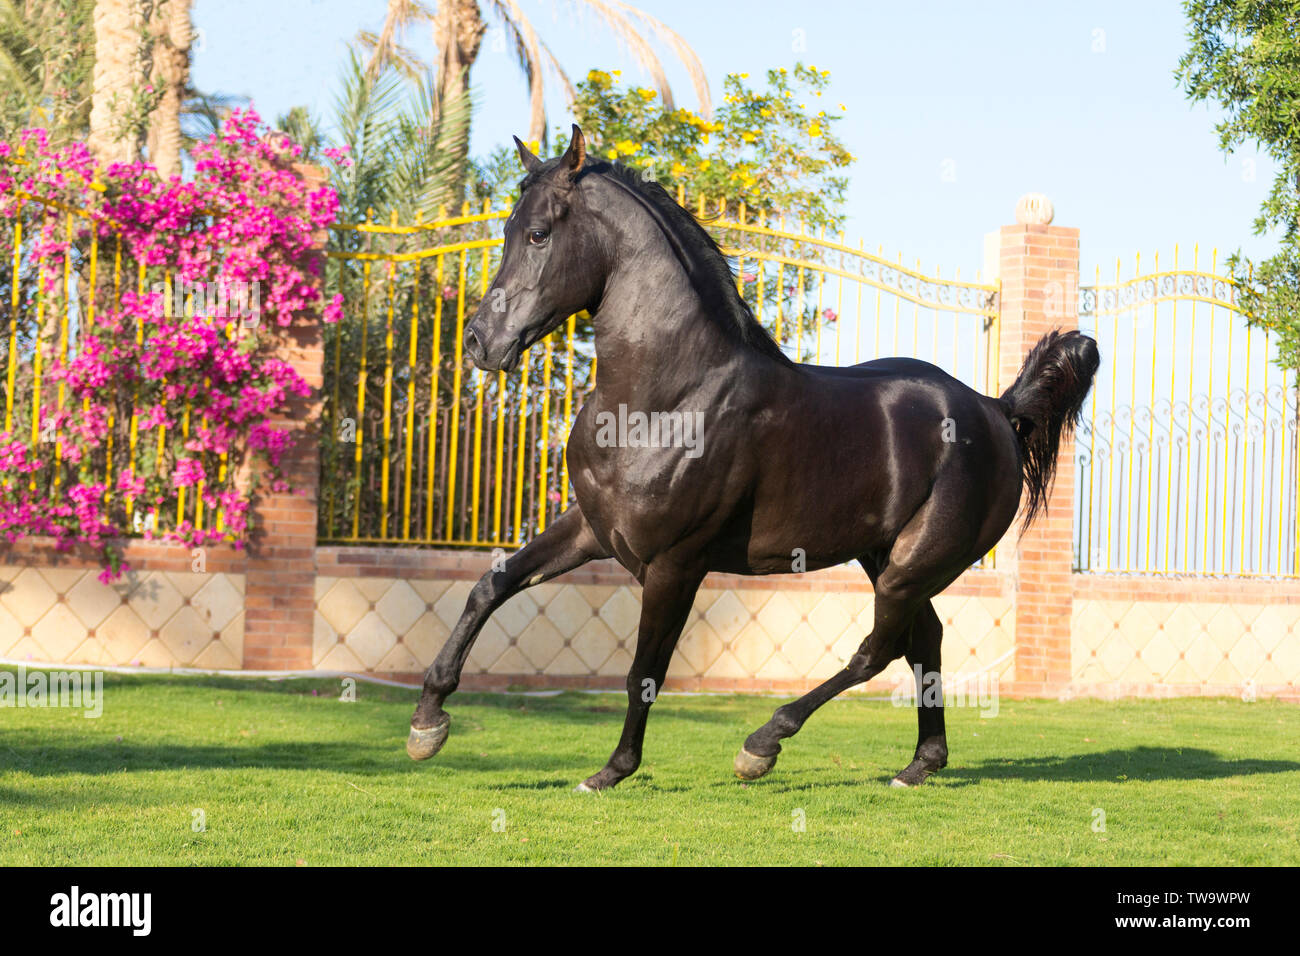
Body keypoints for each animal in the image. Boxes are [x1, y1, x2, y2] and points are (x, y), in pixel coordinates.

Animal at [406, 126, 1099, 791]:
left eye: (539, 233)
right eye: (506, 230)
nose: (480, 342)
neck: (666, 399)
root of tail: (995, 408)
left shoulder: (675, 564)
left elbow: (644, 671)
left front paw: (610, 771)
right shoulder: (593, 530)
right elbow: (493, 584)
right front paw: (427, 725)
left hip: (914, 564)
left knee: (876, 650)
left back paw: (763, 744)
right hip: (885, 558)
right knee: (922, 639)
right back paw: (917, 766)